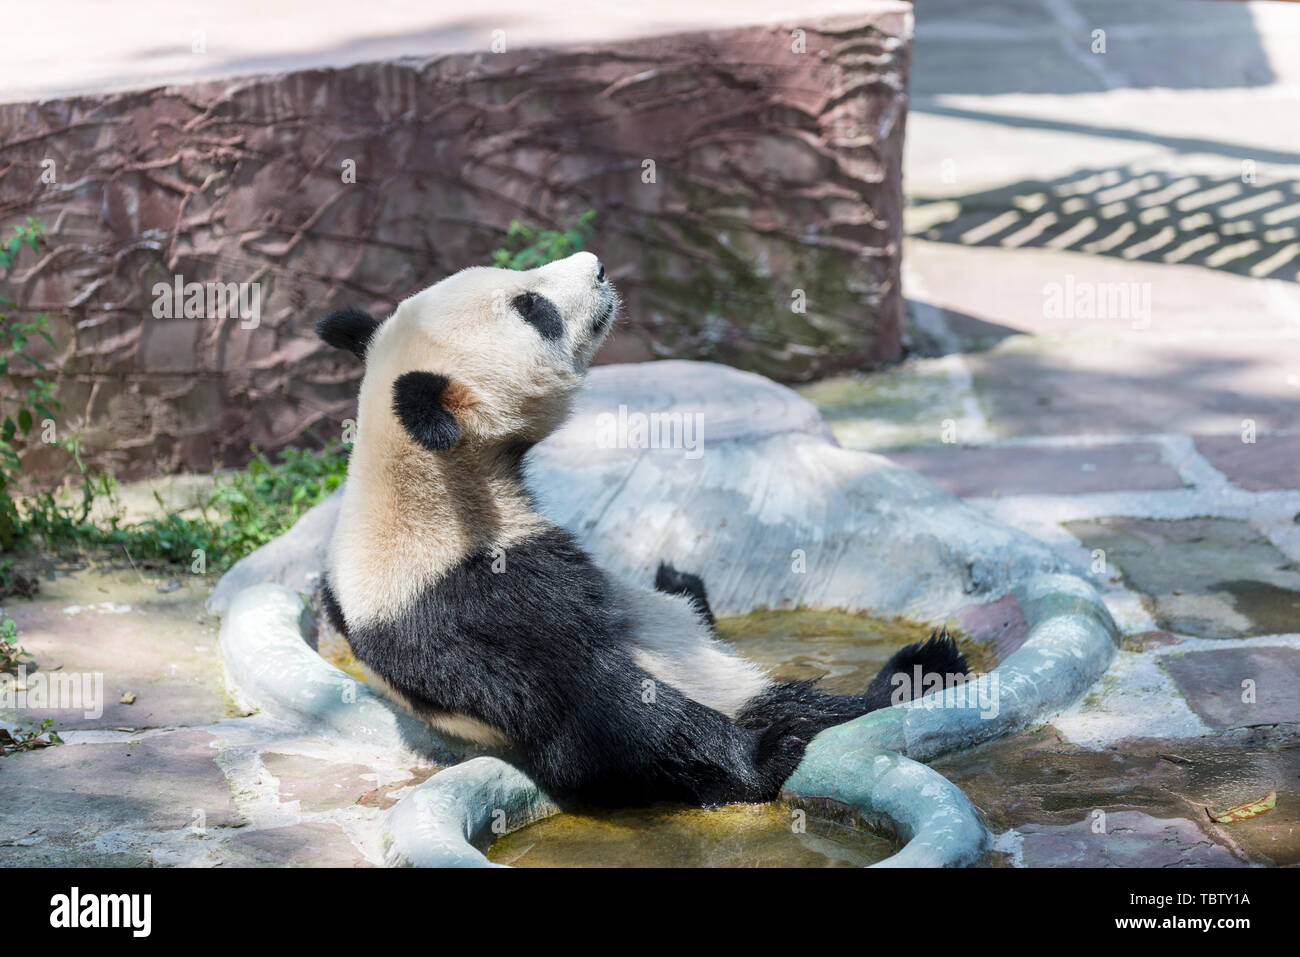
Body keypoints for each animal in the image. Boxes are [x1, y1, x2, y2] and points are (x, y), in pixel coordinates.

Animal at [315, 251, 968, 808]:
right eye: (532, 306)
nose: (598, 265)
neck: (427, 485)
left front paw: (679, 579)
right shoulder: (470, 603)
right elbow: (597, 714)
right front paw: (763, 754)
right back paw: (910, 672)